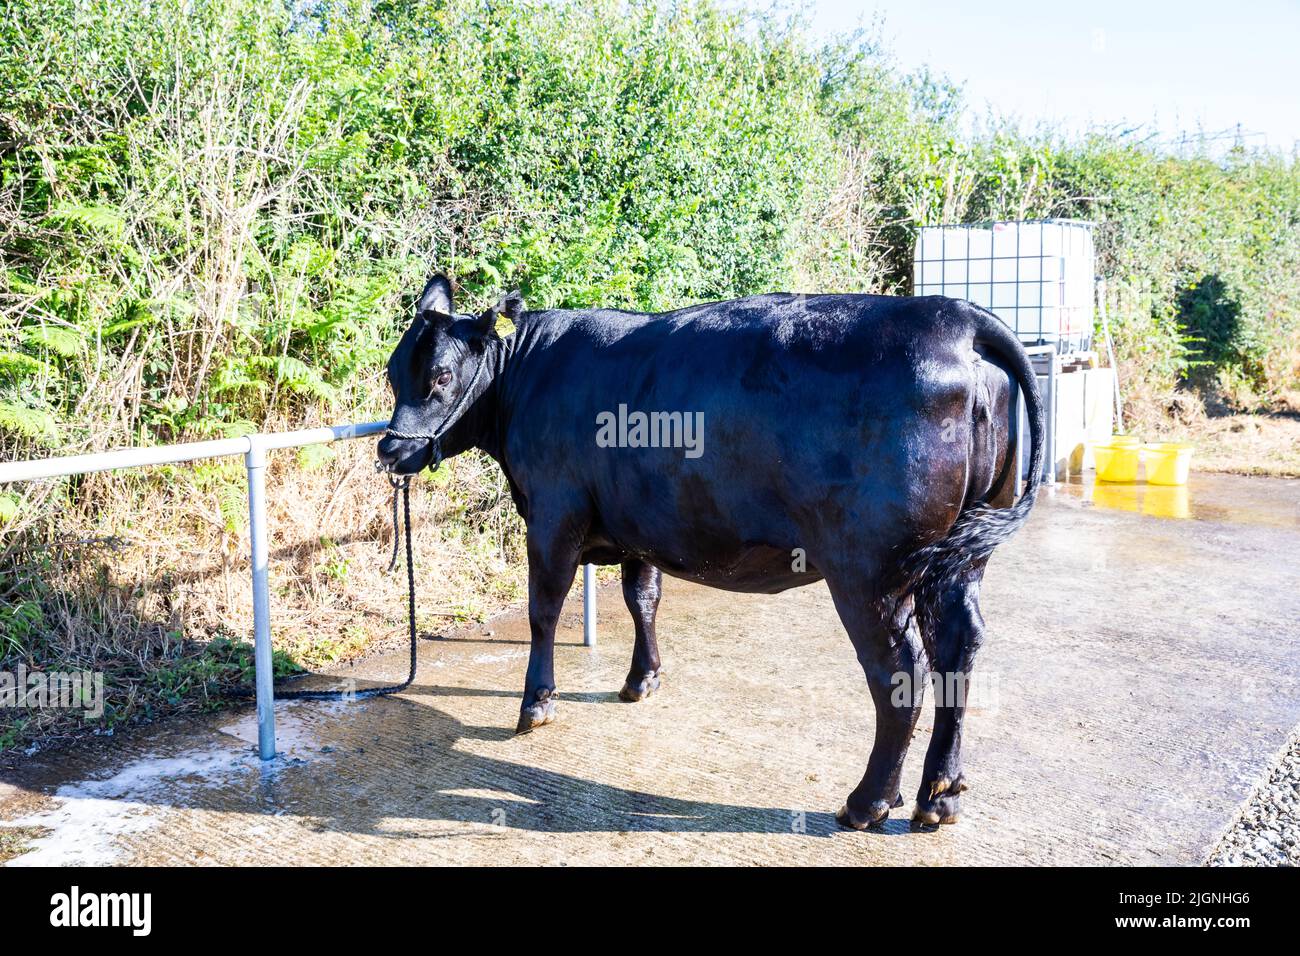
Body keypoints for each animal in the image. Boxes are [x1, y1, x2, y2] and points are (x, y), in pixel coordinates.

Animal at [377, 274, 1044, 829]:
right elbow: (642, 597)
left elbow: (544, 610)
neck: (529, 372)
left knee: (901, 669)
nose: (389, 450)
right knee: (959, 647)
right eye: (392, 373)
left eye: (440, 377)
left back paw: (868, 802)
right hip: (959, 560)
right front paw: (642, 679)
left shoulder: (551, 513)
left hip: (868, 571)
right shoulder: (638, 515)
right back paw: (940, 794)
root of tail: (956, 317)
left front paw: (535, 704)